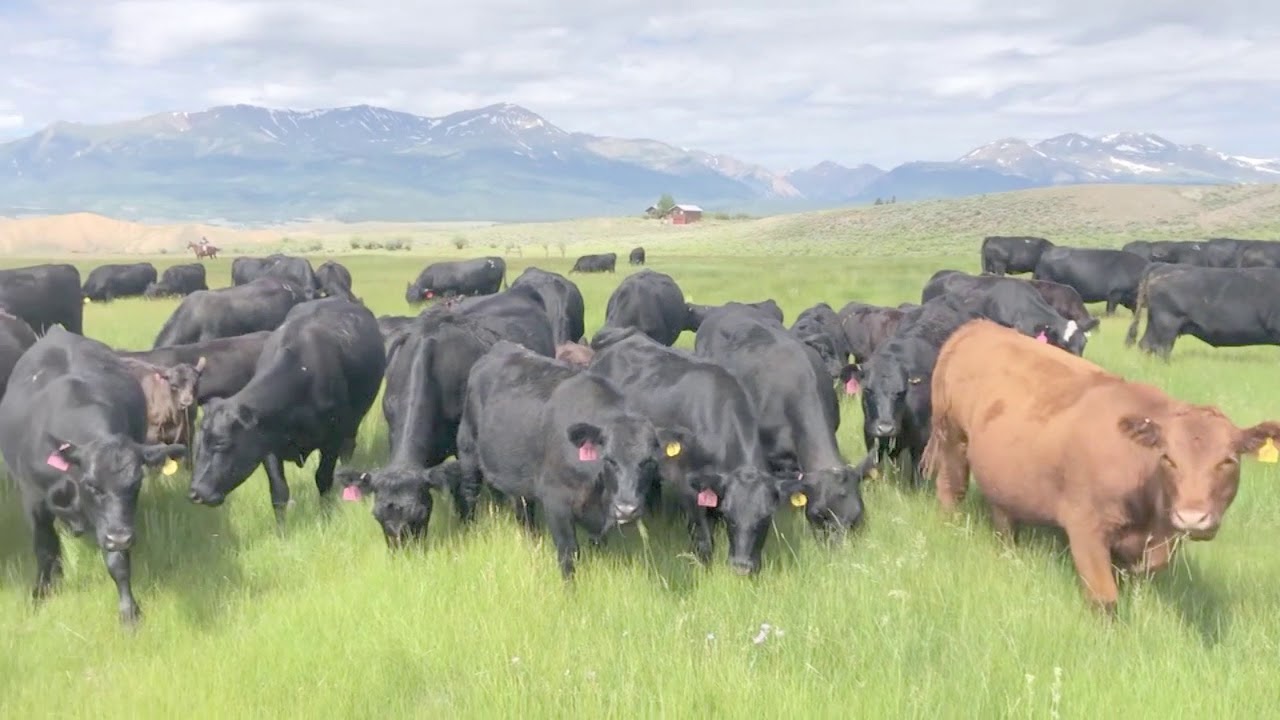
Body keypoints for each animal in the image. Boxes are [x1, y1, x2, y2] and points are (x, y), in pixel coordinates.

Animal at [0, 327, 186, 625]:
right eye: (92, 485)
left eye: (136, 484)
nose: (121, 538)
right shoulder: (33, 500)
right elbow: (45, 549)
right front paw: (40, 594)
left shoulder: (114, 523)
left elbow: (118, 562)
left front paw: (129, 612)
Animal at [188, 298, 386, 525]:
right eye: (197, 445)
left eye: (221, 443)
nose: (195, 493)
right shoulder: (268, 447)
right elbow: (279, 491)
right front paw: (281, 530)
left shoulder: (332, 440)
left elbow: (323, 479)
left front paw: (325, 518)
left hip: (354, 421)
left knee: (348, 448)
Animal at [435, 341, 681, 577]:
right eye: (609, 460)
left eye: (649, 461)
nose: (626, 509)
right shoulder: (556, 503)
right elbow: (568, 553)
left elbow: (598, 545)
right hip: (468, 451)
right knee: (470, 493)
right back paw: (469, 529)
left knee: (523, 509)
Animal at [922, 318, 1280, 614]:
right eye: (1168, 458)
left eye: (1228, 461)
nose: (1192, 517)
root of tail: (976, 326)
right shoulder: (1085, 527)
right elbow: (1104, 597)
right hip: (951, 438)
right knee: (951, 488)